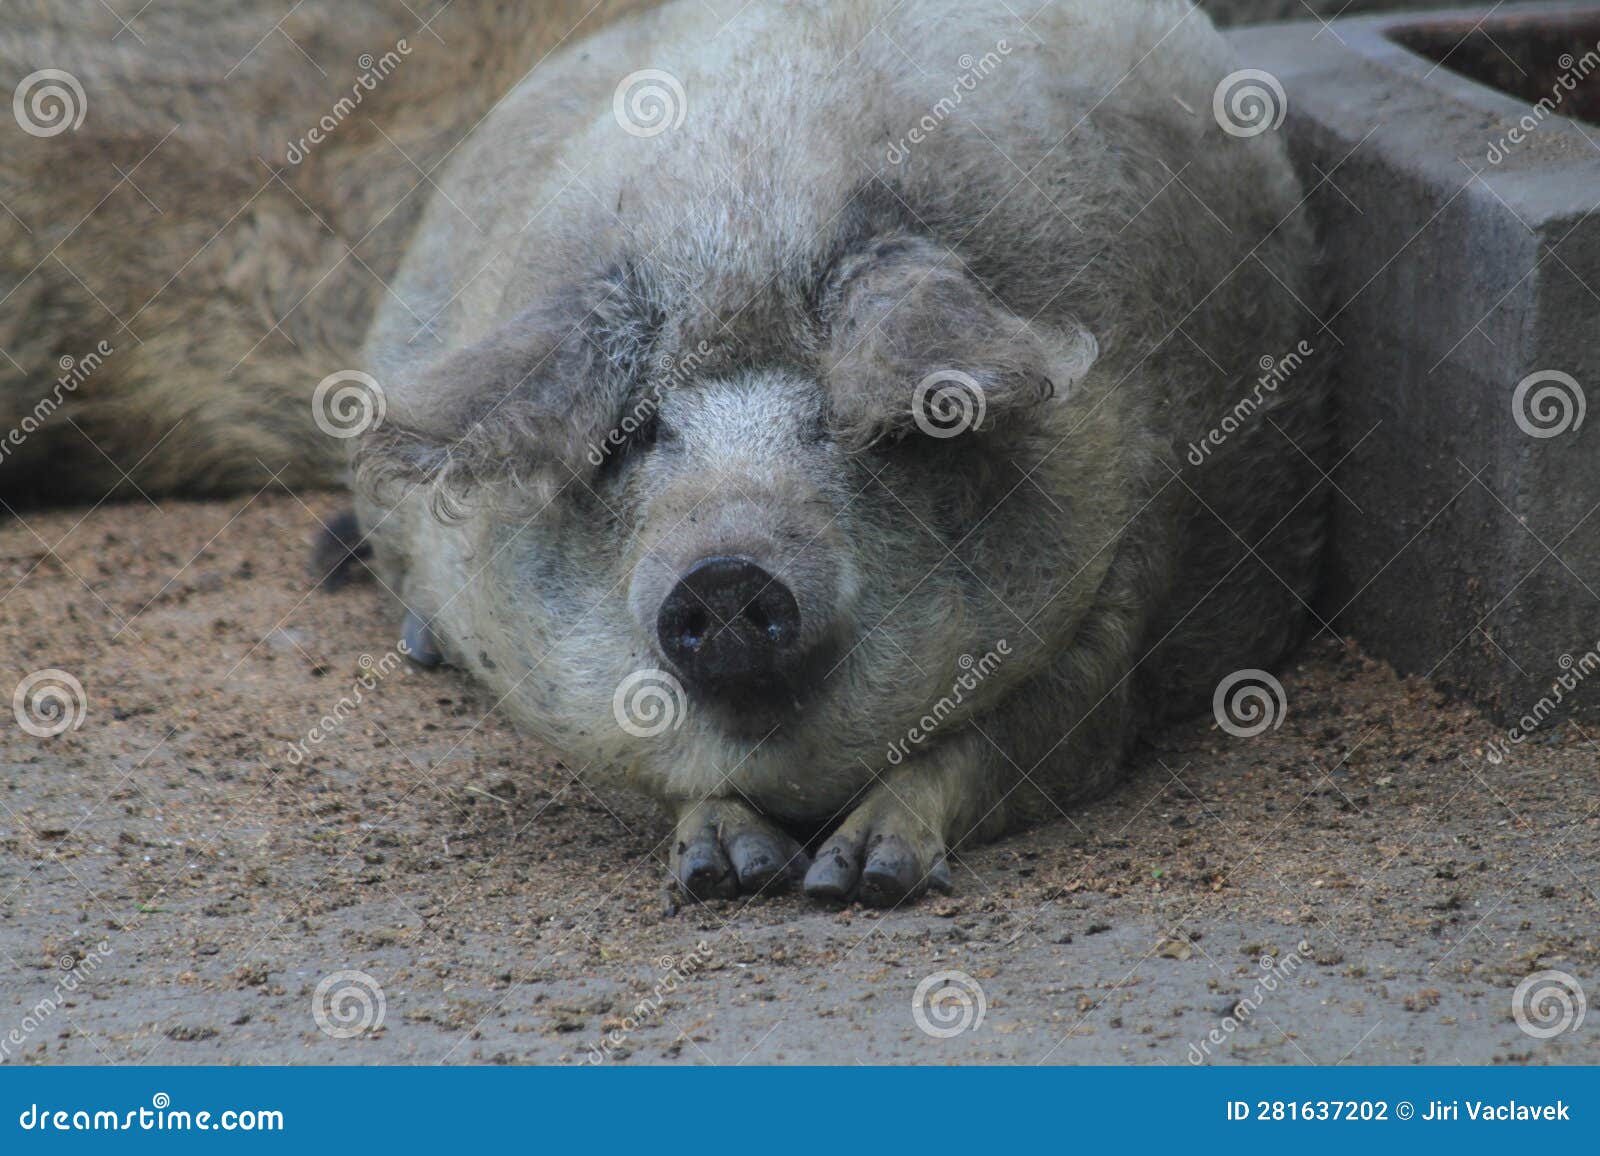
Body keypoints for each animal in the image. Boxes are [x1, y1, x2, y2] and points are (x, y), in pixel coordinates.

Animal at [350, 0, 1330, 907]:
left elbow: (1015, 740)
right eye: (641, 432)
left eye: (837, 425)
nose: (725, 573)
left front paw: (856, 880)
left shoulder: (1122, 584)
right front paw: (726, 874)